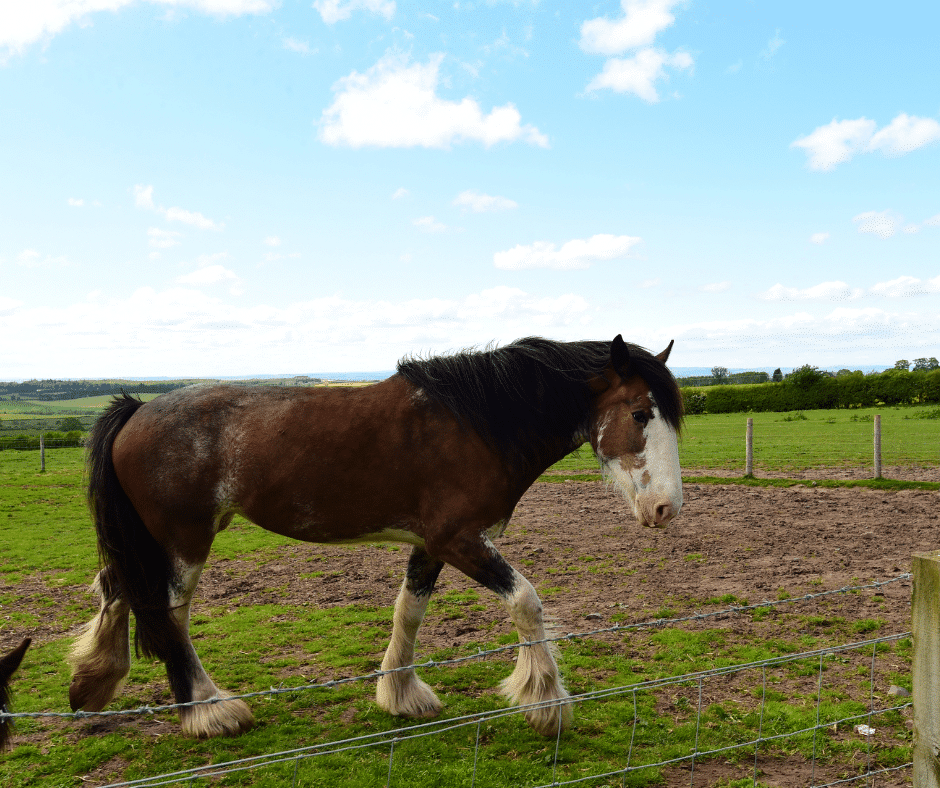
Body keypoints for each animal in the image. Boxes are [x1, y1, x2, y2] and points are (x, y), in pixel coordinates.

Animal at [66, 335, 684, 739]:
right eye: (638, 413)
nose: (665, 508)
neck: (476, 424)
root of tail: (138, 409)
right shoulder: (460, 540)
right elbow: (526, 602)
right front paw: (546, 705)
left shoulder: (431, 545)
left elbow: (408, 611)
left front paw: (401, 695)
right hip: (183, 540)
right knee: (168, 612)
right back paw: (206, 711)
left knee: (117, 586)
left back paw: (92, 684)